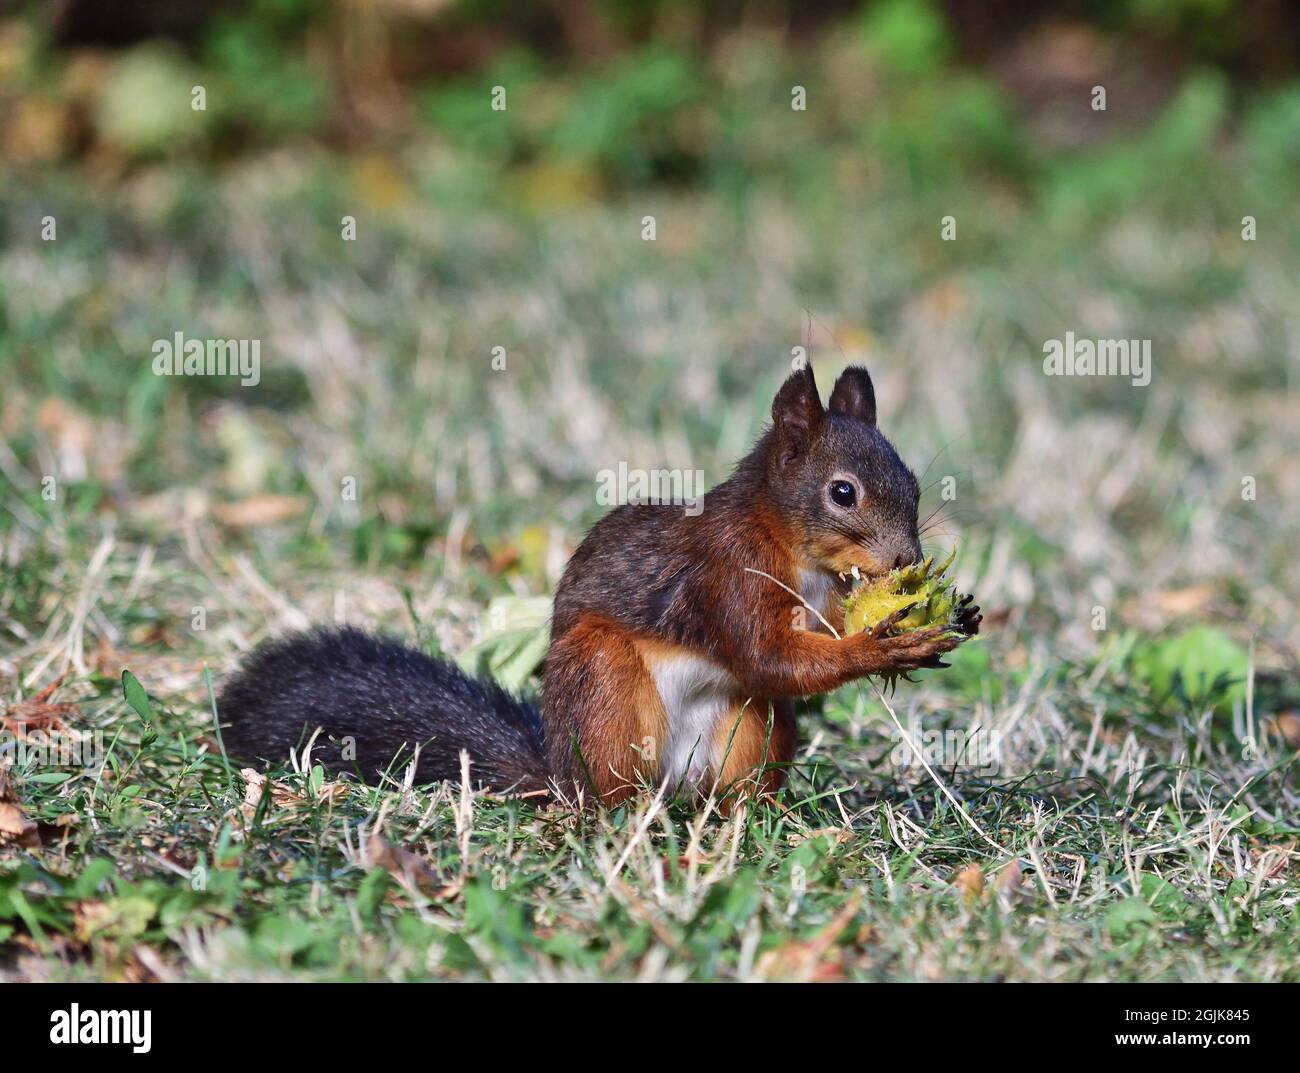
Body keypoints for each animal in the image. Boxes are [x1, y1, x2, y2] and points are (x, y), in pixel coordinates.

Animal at [218, 362, 980, 806]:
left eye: (913, 483)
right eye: (842, 492)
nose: (907, 556)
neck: (799, 555)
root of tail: (558, 771)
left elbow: (803, 646)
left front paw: (955, 615)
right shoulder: (725, 573)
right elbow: (768, 654)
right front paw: (887, 642)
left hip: (751, 730)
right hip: (602, 685)